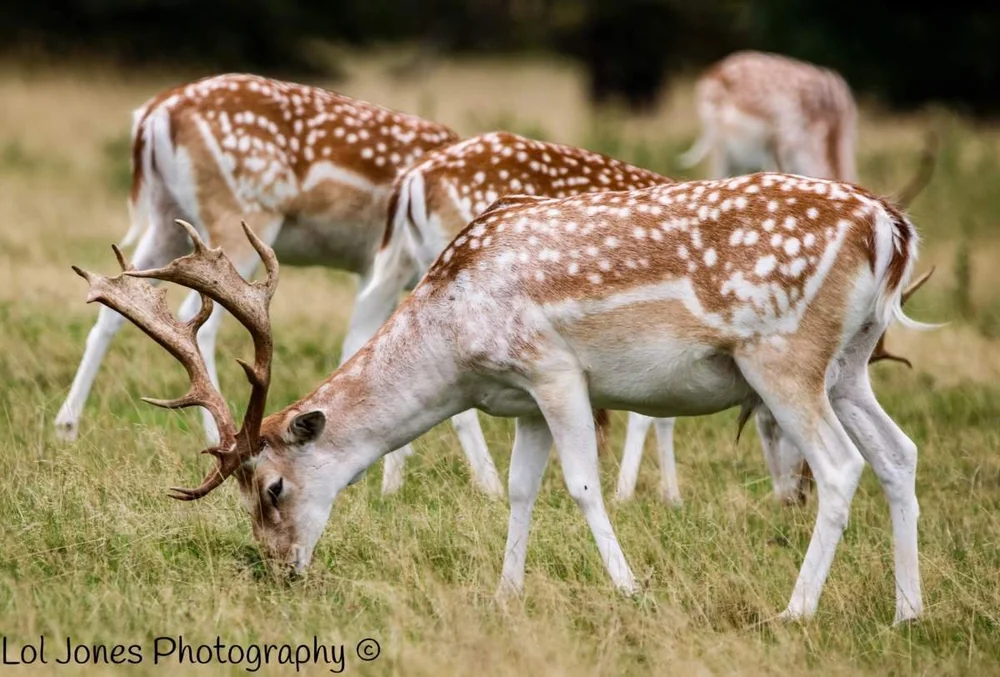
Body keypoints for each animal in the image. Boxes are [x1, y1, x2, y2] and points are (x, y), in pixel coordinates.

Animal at [53, 73, 459, 459]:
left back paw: (66, 427)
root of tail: (156, 111)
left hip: (168, 218)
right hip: (239, 217)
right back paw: (217, 439)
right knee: (197, 315)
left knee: (118, 302)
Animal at [75, 170, 931, 624]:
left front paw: (630, 588)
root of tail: (893, 229)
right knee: (900, 453)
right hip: (850, 362)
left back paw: (795, 610)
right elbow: (521, 490)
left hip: (781, 355)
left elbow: (581, 484)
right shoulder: (520, 401)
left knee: (842, 465)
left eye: (273, 488)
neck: (454, 341)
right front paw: (505, 592)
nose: (280, 569)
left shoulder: (552, 367)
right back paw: (907, 611)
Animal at [361, 130, 937, 506]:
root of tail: (412, 179)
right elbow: (650, 414)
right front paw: (643, 493)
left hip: (403, 265)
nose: (797, 497)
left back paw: (389, 485)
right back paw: (479, 484)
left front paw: (651, 490)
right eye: (765, 422)